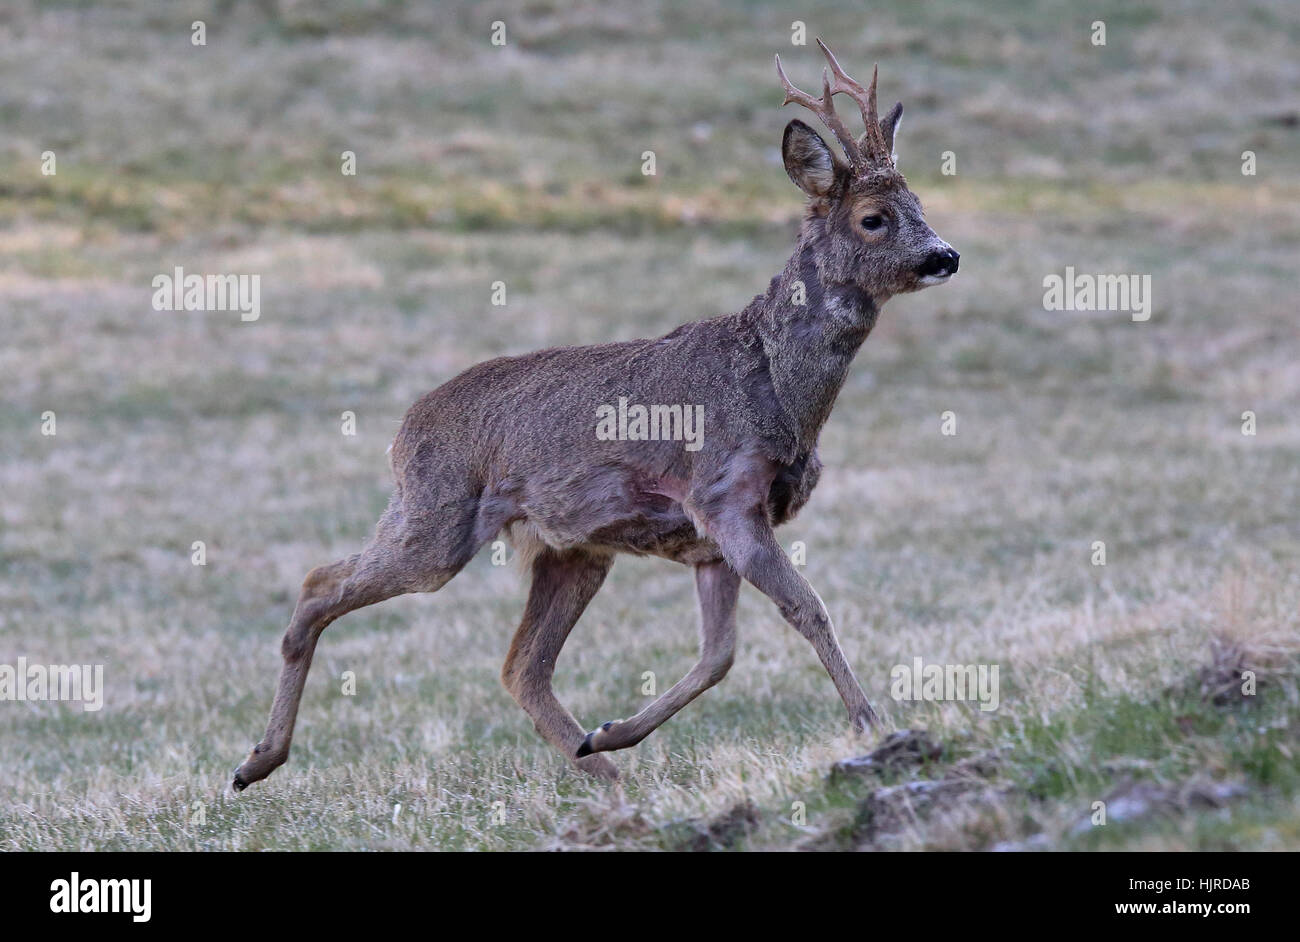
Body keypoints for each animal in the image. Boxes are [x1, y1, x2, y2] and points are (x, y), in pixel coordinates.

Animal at [232, 40, 958, 790]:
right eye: (872, 217)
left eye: (920, 203)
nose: (945, 256)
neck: (776, 385)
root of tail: (404, 428)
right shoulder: (725, 494)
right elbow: (806, 608)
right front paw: (871, 725)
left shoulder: (710, 536)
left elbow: (719, 653)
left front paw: (614, 732)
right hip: (436, 519)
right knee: (319, 584)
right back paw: (255, 762)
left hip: (572, 550)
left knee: (522, 667)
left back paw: (604, 771)